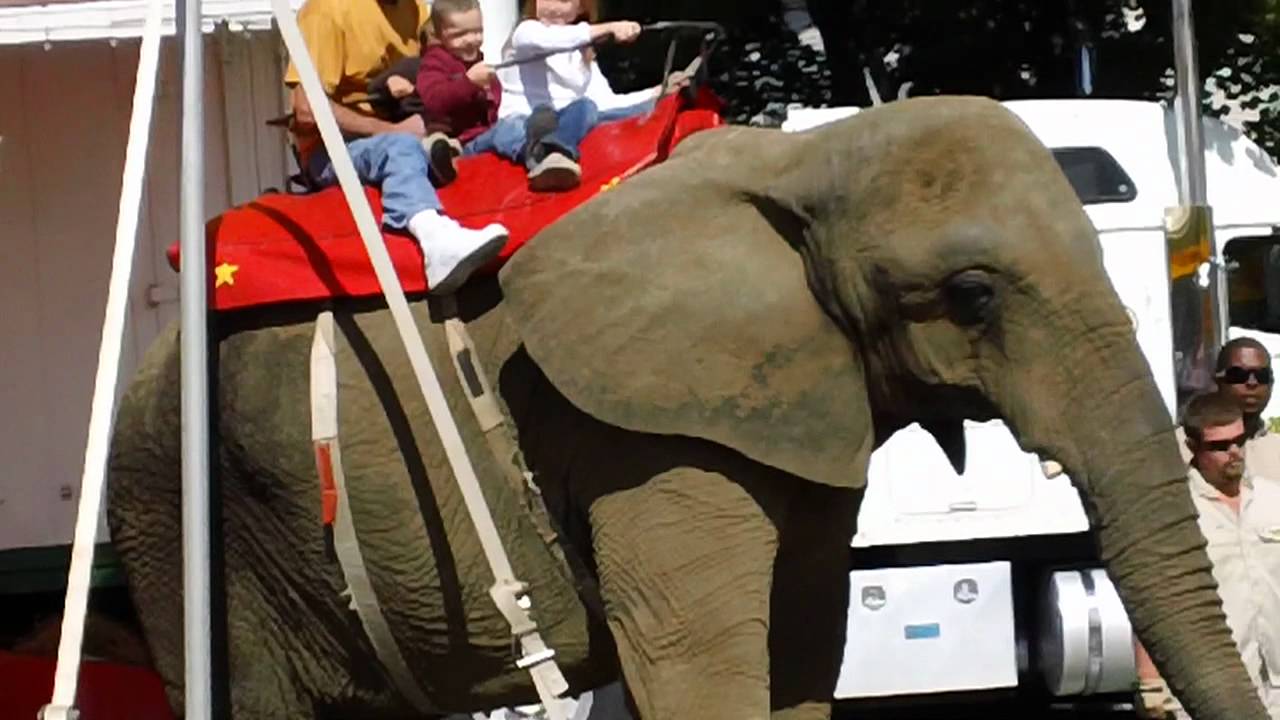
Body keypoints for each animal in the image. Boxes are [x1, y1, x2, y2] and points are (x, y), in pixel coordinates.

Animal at [106, 96, 1269, 720]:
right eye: (974, 294)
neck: (802, 160)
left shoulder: (791, 400)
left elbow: (801, 645)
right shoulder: (639, 428)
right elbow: (704, 659)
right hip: (183, 510)